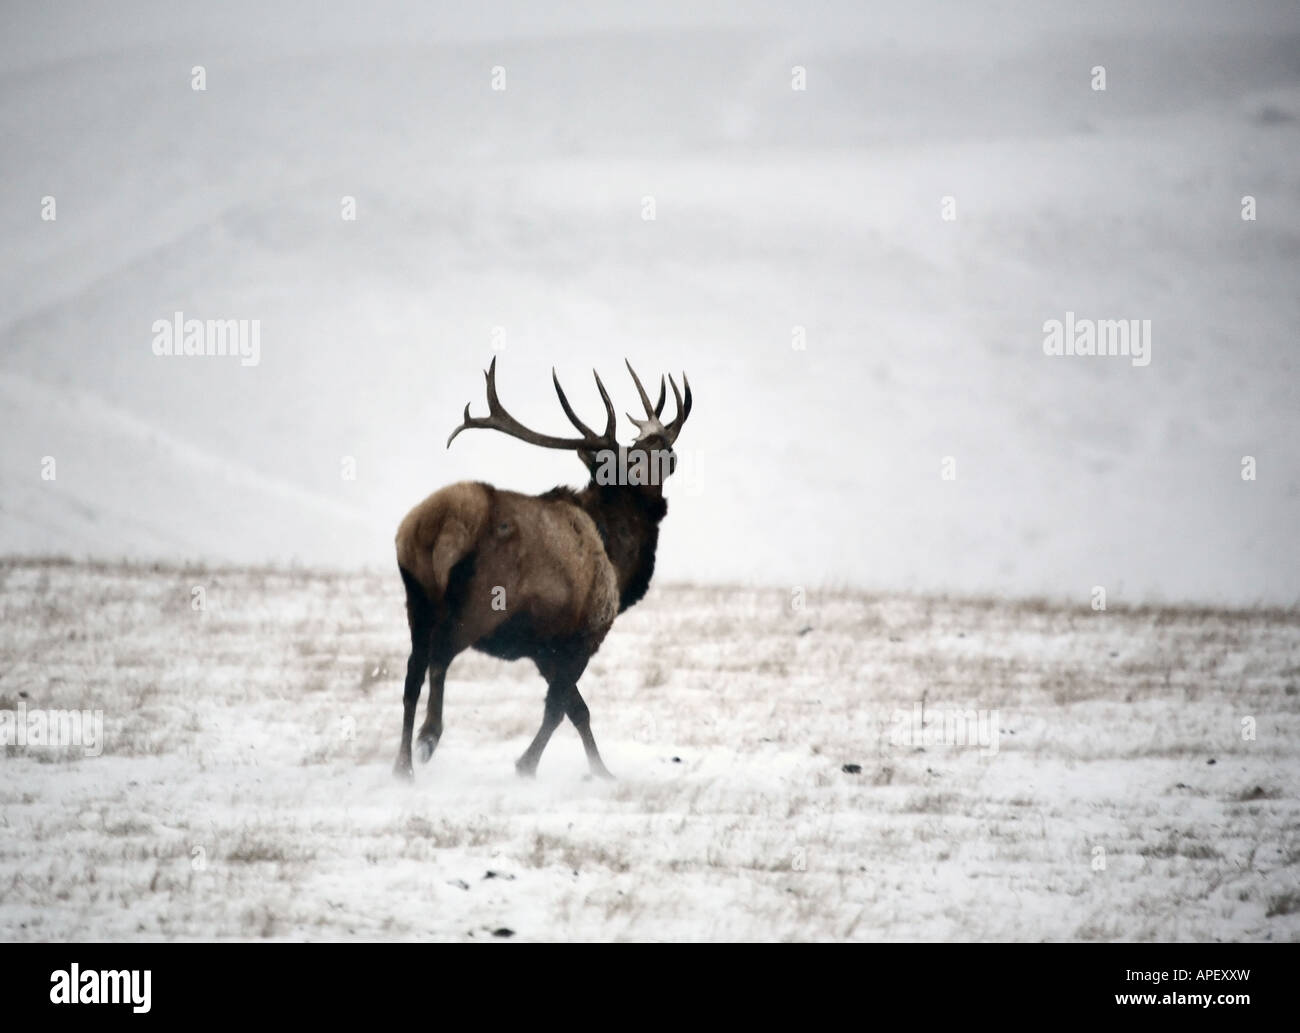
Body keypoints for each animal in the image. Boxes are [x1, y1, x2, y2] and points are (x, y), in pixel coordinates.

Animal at [392, 358, 692, 781]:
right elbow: (560, 707)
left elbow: (576, 710)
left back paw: (402, 766)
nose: (662, 442)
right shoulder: (584, 633)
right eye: (634, 459)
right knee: (440, 657)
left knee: (413, 672)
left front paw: (599, 769)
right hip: (480, 604)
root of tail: (439, 522)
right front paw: (528, 765)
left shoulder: (542, 646)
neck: (619, 558)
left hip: (416, 597)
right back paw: (428, 738)